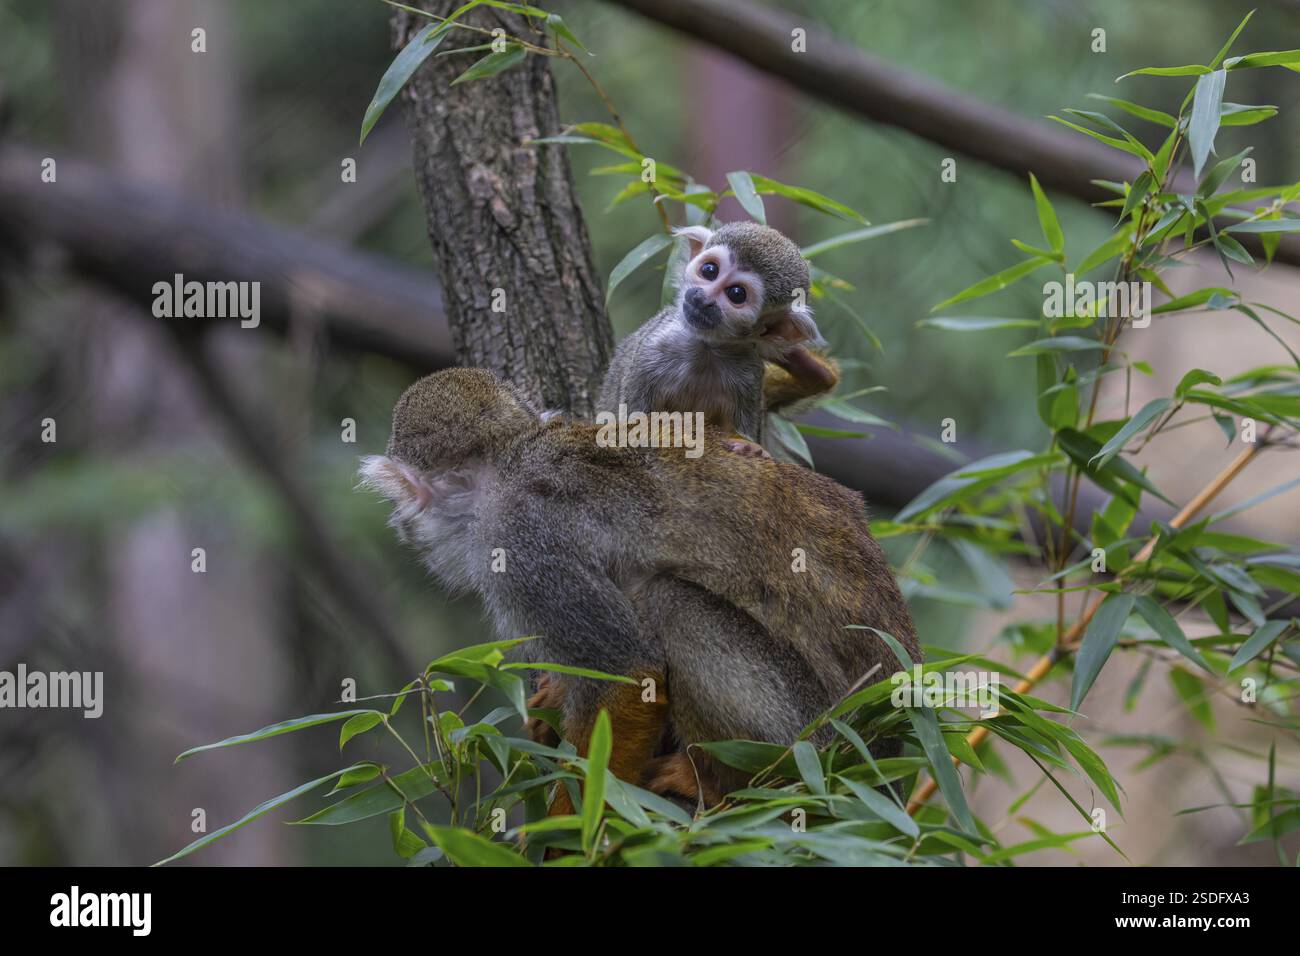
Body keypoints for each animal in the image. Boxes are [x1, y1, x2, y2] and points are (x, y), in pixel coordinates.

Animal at [360, 367, 920, 810]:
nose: (404, 525)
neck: (512, 462)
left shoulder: (522, 542)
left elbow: (629, 671)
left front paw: (570, 836)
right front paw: (551, 705)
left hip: (813, 741)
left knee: (673, 605)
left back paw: (720, 782)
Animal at [598, 221, 840, 458]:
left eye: (736, 293)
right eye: (709, 270)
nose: (703, 298)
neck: (705, 348)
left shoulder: (749, 376)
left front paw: (746, 445)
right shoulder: (651, 351)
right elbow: (631, 423)